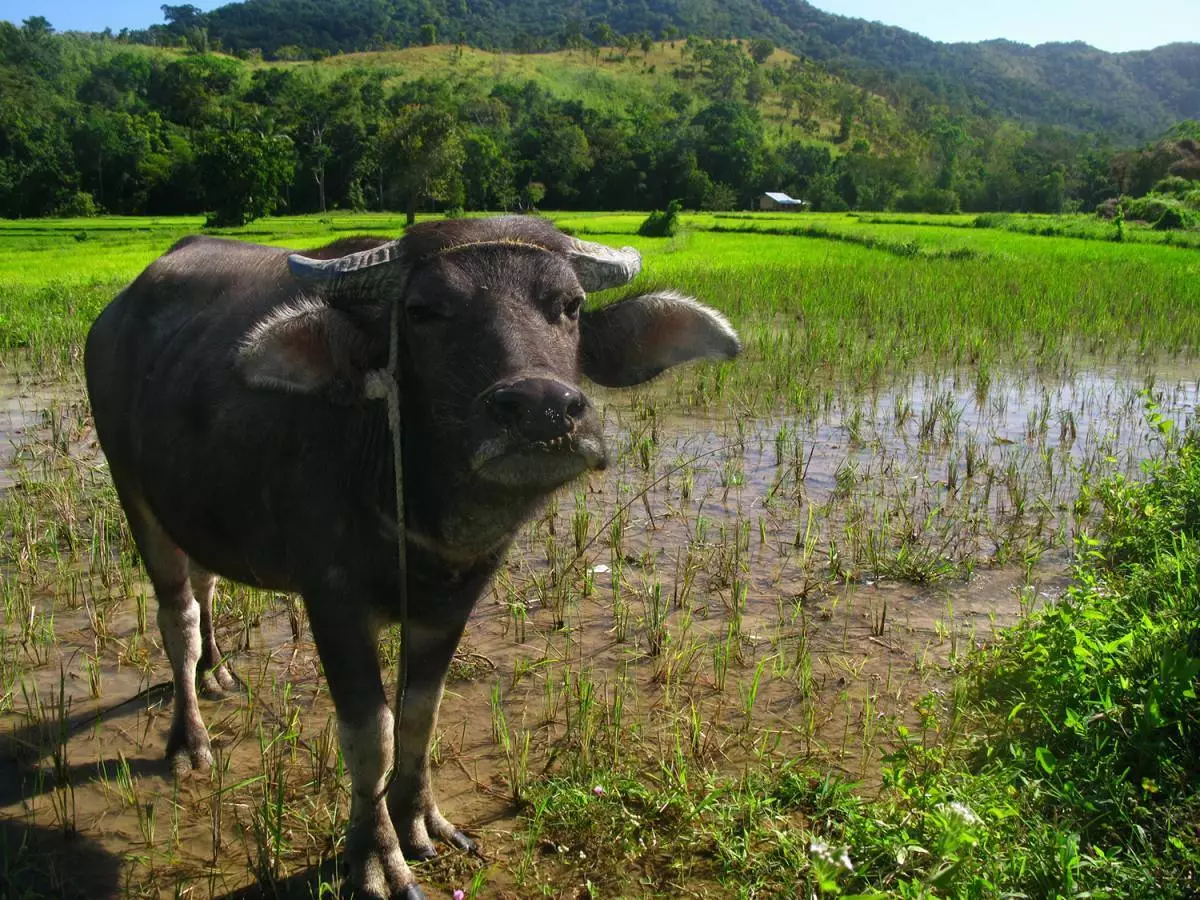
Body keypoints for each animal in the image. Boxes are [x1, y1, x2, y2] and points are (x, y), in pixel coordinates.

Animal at [84, 214, 739, 897]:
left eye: (571, 306)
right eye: (424, 311)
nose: (542, 408)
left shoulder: (453, 601)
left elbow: (421, 715)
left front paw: (419, 820)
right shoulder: (333, 599)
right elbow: (371, 733)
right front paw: (375, 856)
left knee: (206, 582)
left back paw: (218, 671)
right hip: (136, 495)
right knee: (177, 615)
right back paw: (188, 738)